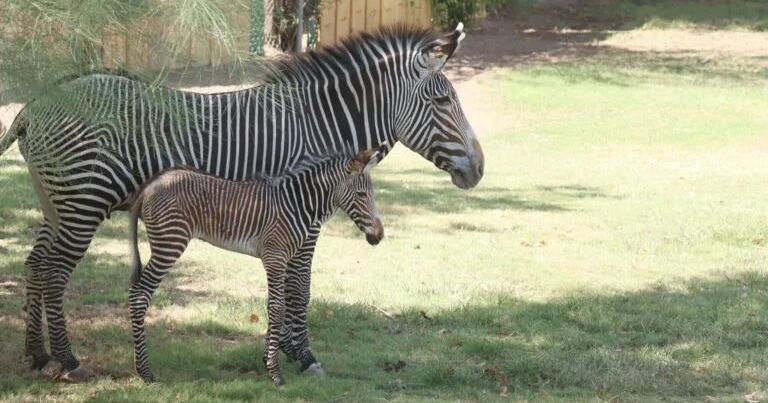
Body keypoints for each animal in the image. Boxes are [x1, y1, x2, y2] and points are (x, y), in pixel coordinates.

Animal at [128, 149, 383, 385]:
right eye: (361, 194)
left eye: (372, 194)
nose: (379, 236)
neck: (297, 204)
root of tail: (150, 186)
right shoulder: (275, 257)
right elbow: (278, 308)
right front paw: (275, 372)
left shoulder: (282, 258)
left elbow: (277, 304)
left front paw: (268, 360)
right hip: (170, 243)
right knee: (140, 295)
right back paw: (145, 372)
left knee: (134, 291)